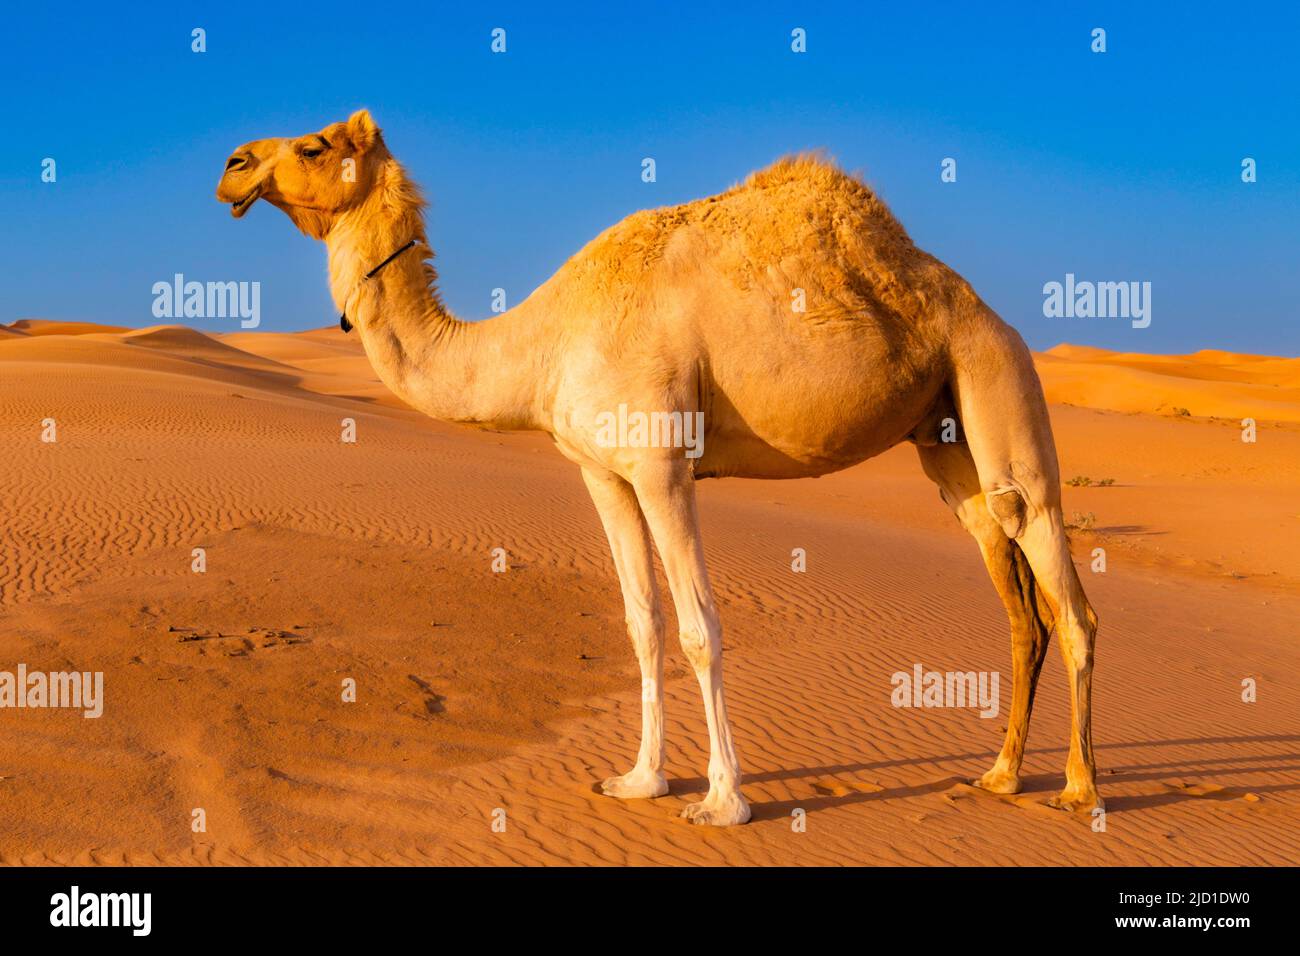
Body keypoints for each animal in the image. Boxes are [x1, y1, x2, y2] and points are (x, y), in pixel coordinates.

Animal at [216, 110, 1100, 826]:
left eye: (313, 144)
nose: (231, 162)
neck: (542, 342)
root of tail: (990, 313)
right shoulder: (602, 471)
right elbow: (642, 625)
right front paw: (639, 780)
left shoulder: (662, 463)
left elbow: (700, 626)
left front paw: (723, 800)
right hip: (946, 435)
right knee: (1015, 589)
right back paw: (999, 776)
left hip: (997, 374)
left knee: (1063, 585)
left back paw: (1080, 789)